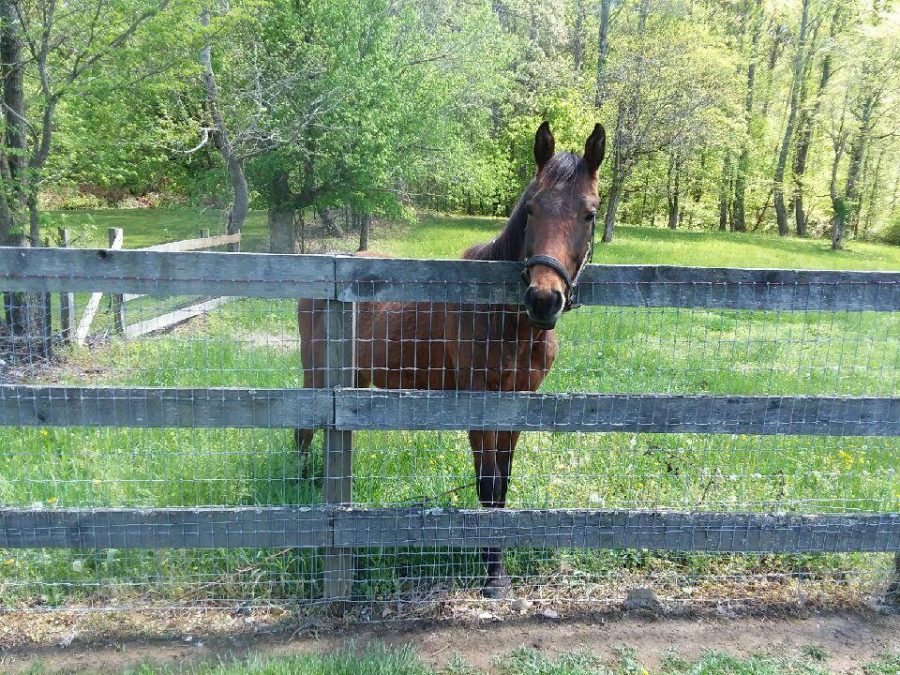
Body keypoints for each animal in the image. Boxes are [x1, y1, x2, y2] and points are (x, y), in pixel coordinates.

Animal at [296, 121, 606, 597]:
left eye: (590, 214)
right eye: (531, 209)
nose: (543, 299)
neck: (504, 318)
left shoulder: (519, 402)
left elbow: (503, 484)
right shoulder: (479, 401)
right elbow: (488, 484)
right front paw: (494, 575)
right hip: (315, 376)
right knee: (301, 432)